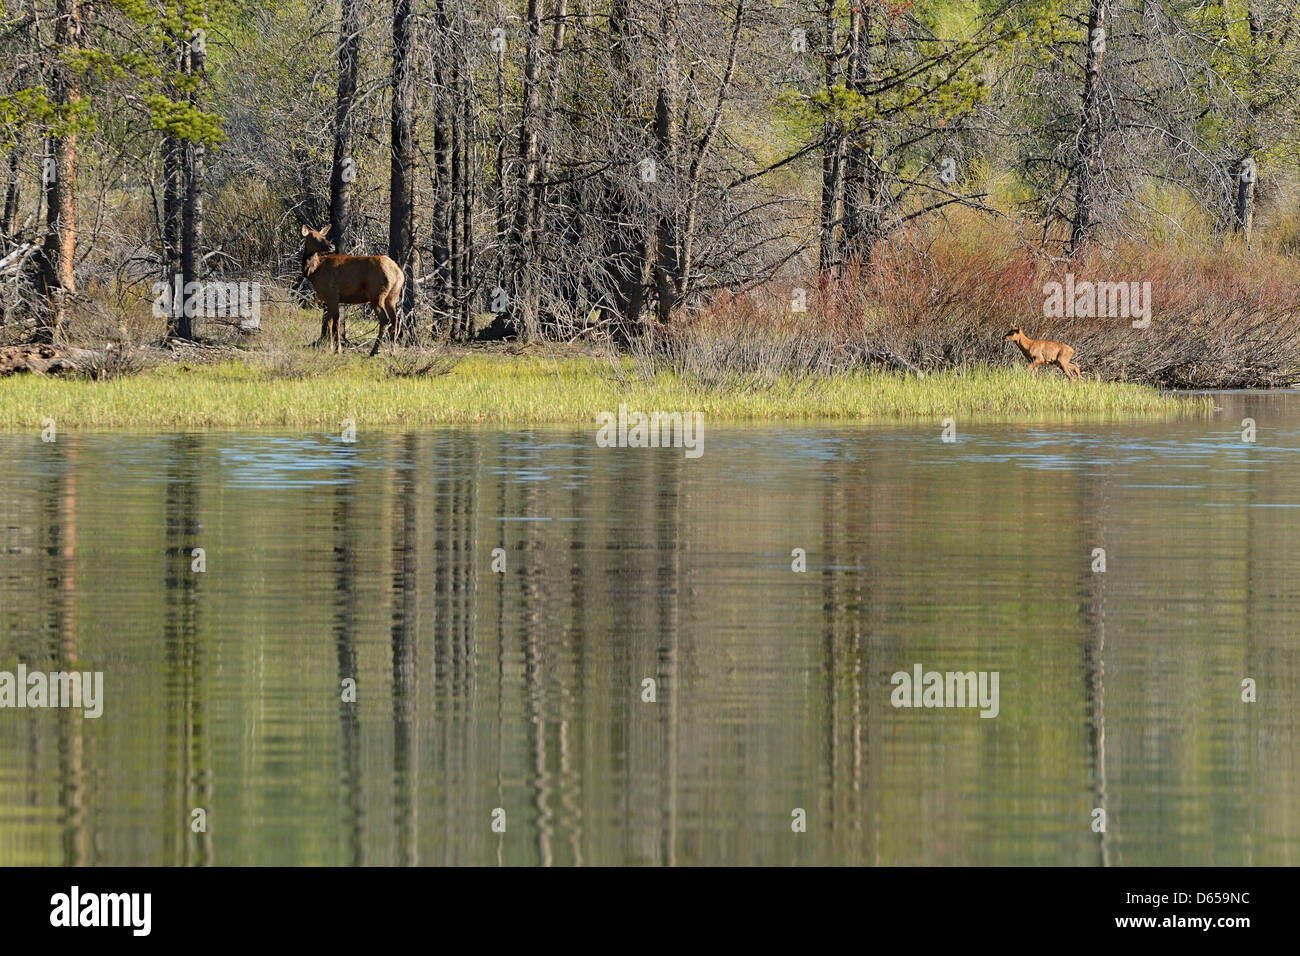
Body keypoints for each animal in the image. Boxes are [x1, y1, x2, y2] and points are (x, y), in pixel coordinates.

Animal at [299, 225, 405, 355]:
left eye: (323, 235)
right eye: (313, 237)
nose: (331, 246)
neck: (315, 271)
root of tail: (397, 272)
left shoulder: (332, 295)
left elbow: (336, 321)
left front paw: (338, 349)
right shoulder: (327, 298)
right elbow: (329, 322)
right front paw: (330, 347)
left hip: (377, 294)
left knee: (385, 319)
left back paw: (374, 351)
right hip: (393, 296)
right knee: (395, 319)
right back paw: (392, 351)